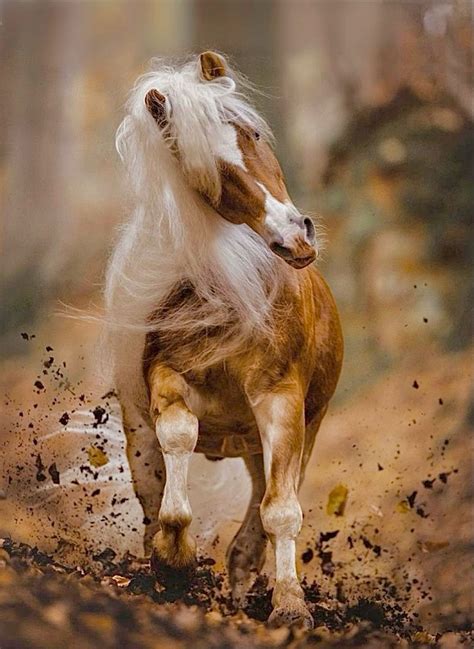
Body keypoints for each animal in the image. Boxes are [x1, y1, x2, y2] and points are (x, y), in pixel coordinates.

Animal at [105, 51, 343, 628]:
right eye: (205, 173)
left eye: (253, 133)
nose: (297, 236)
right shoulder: (165, 377)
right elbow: (178, 441)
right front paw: (174, 554)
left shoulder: (281, 401)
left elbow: (282, 510)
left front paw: (290, 604)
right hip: (142, 425)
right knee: (152, 479)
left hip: (295, 429)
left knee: (269, 498)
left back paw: (244, 574)